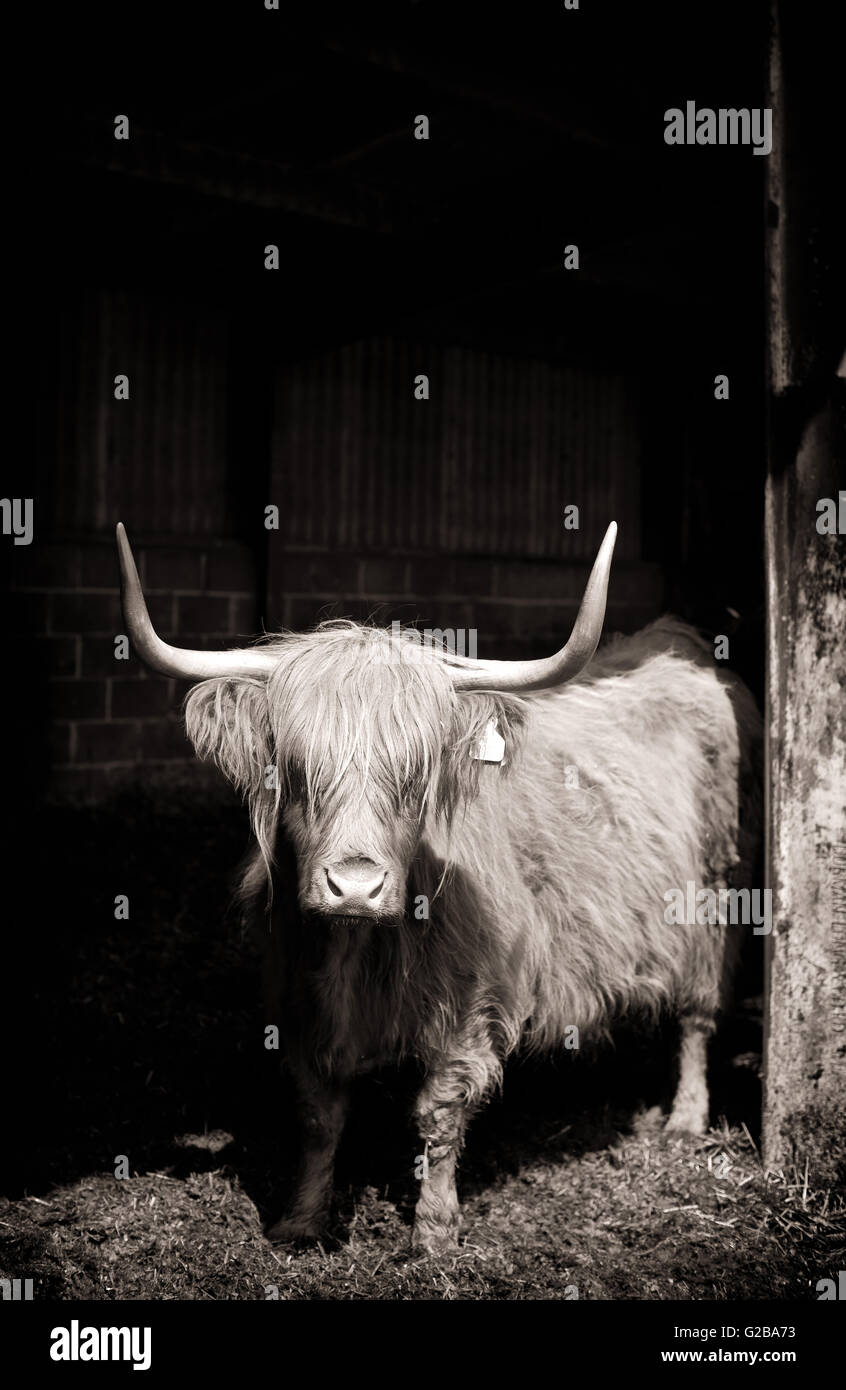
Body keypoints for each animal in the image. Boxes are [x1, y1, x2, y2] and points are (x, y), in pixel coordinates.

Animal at [115, 520, 762, 1253]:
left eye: (415, 773)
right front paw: (301, 1220)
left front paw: (435, 1230)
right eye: (296, 766)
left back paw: (684, 1119)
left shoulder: (470, 1003)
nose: (355, 887)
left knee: (700, 1012)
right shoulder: (297, 994)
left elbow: (439, 1112)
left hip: (717, 894)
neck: (358, 950)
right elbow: (318, 1115)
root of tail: (678, 645)